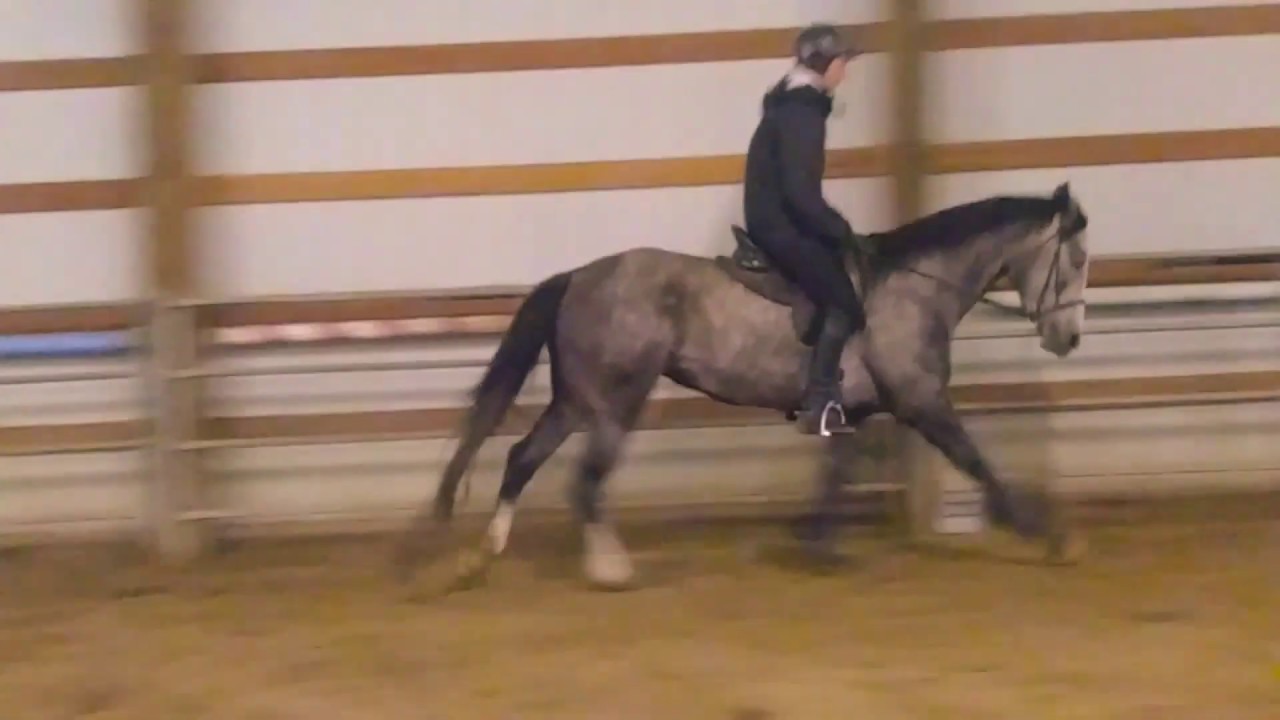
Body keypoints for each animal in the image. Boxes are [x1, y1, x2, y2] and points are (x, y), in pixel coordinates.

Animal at [395, 182, 1091, 589]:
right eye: (1077, 259)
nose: (1068, 339)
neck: (915, 287)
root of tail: (579, 276)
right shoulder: (922, 402)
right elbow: (979, 464)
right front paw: (1050, 537)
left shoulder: (858, 409)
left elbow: (837, 473)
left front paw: (816, 545)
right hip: (618, 398)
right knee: (585, 478)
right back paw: (609, 566)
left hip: (575, 399)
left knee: (524, 457)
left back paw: (483, 554)